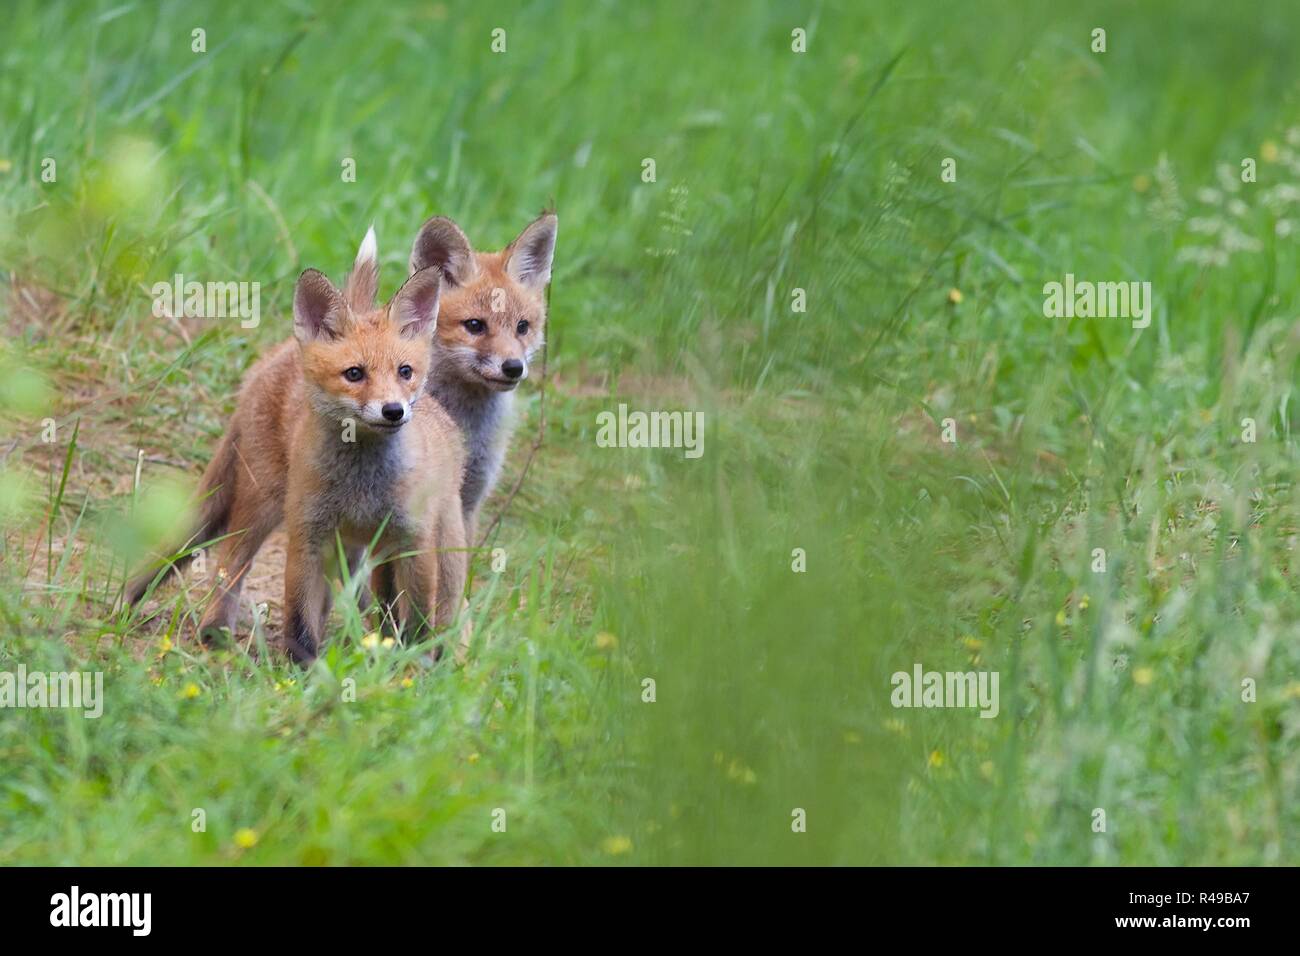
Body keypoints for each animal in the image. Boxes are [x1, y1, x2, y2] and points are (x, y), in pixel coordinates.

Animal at [126, 232, 467, 663]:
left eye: (405, 371)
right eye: (354, 374)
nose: (394, 411)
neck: (362, 486)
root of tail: (277, 355)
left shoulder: (412, 540)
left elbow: (417, 619)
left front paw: (411, 663)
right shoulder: (307, 534)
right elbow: (299, 621)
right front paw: (300, 670)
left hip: (433, 540)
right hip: (264, 502)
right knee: (232, 564)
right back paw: (214, 629)